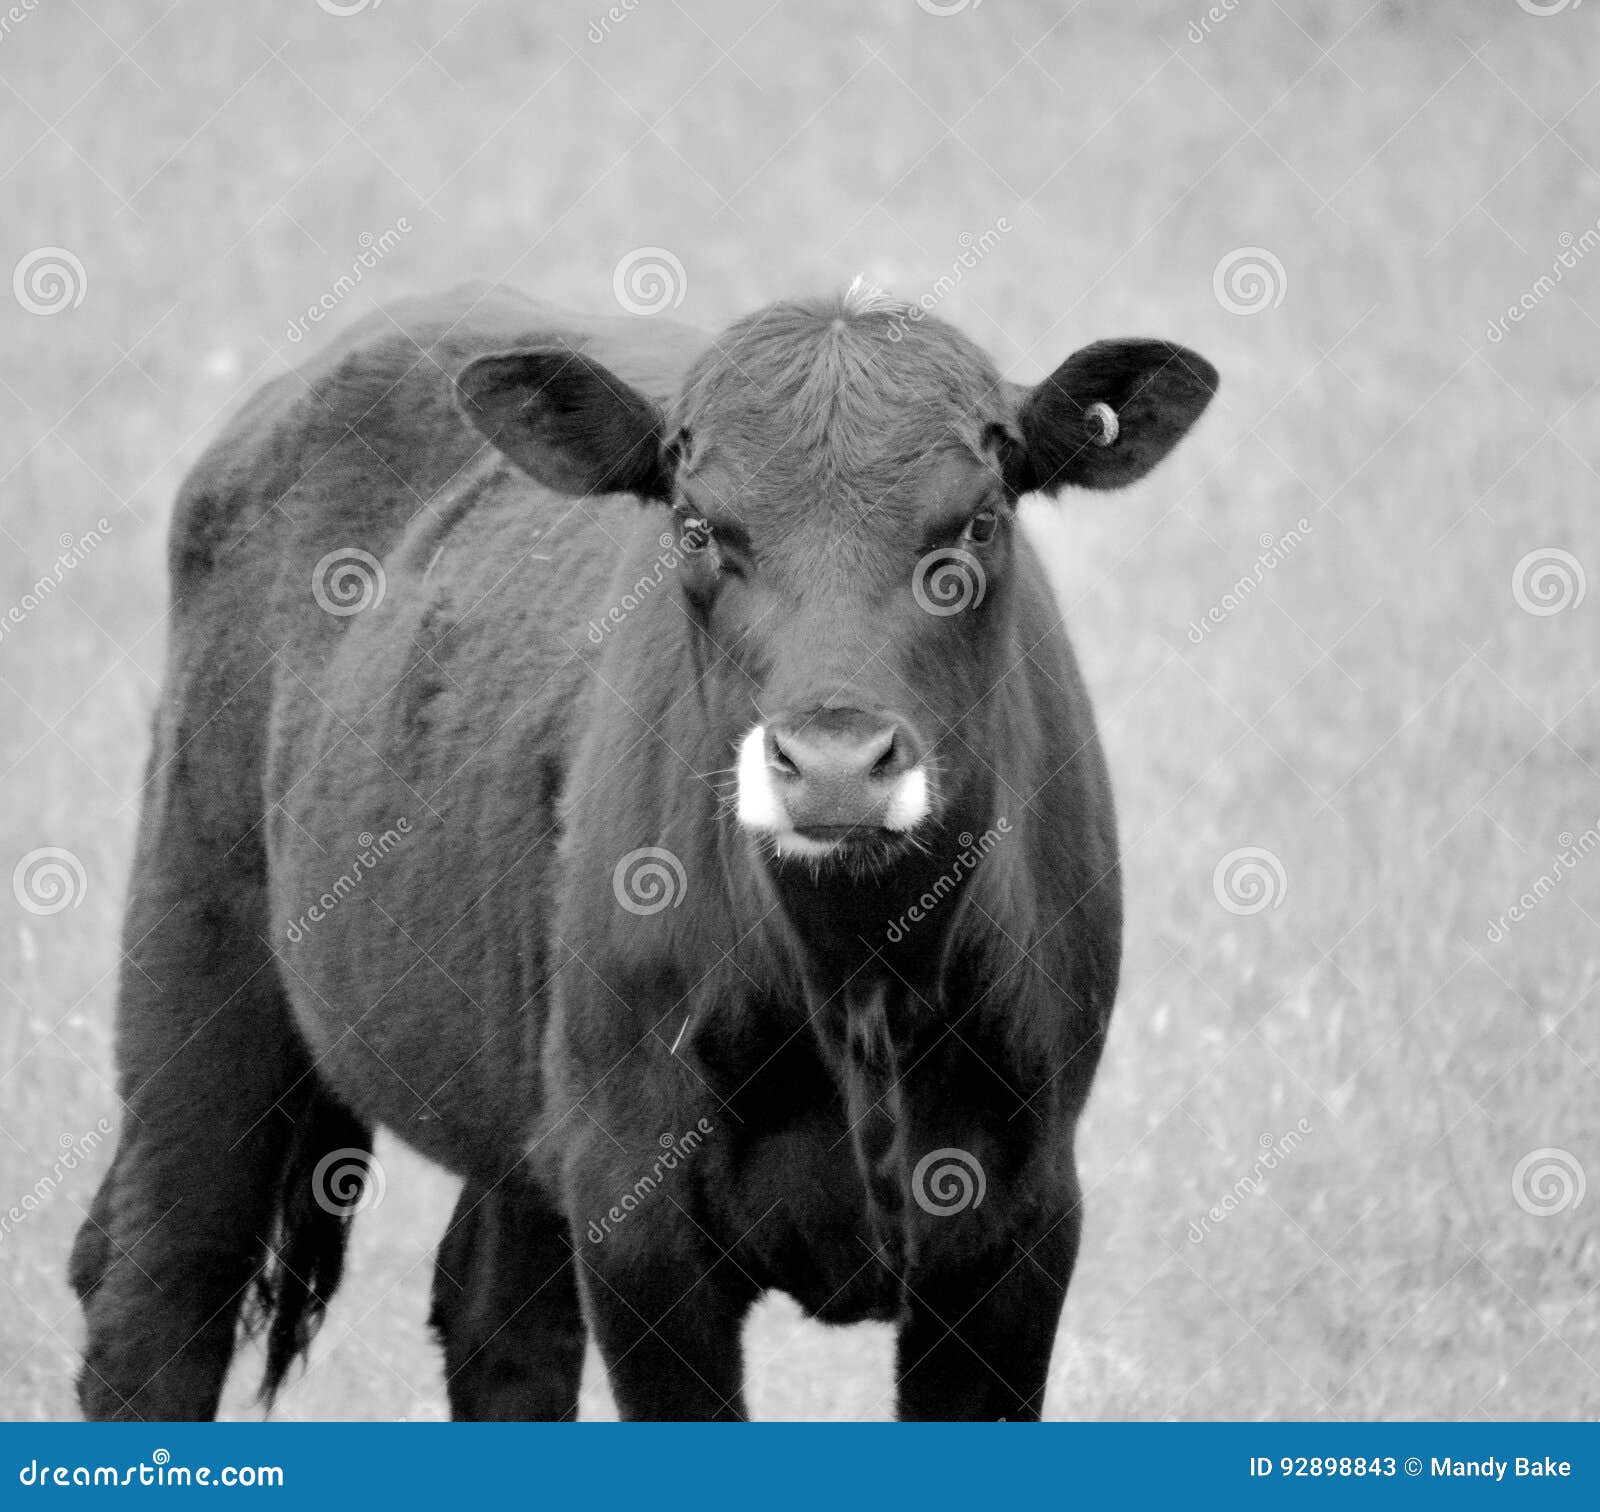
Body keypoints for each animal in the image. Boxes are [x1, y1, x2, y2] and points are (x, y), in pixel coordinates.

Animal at [69, 282, 1216, 1421]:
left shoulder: (1022, 1224)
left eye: (977, 523)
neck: (855, 981)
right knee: (161, 1287)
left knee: (497, 1319)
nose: (836, 765)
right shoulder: (640, 1222)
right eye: (699, 528)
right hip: (195, 960)